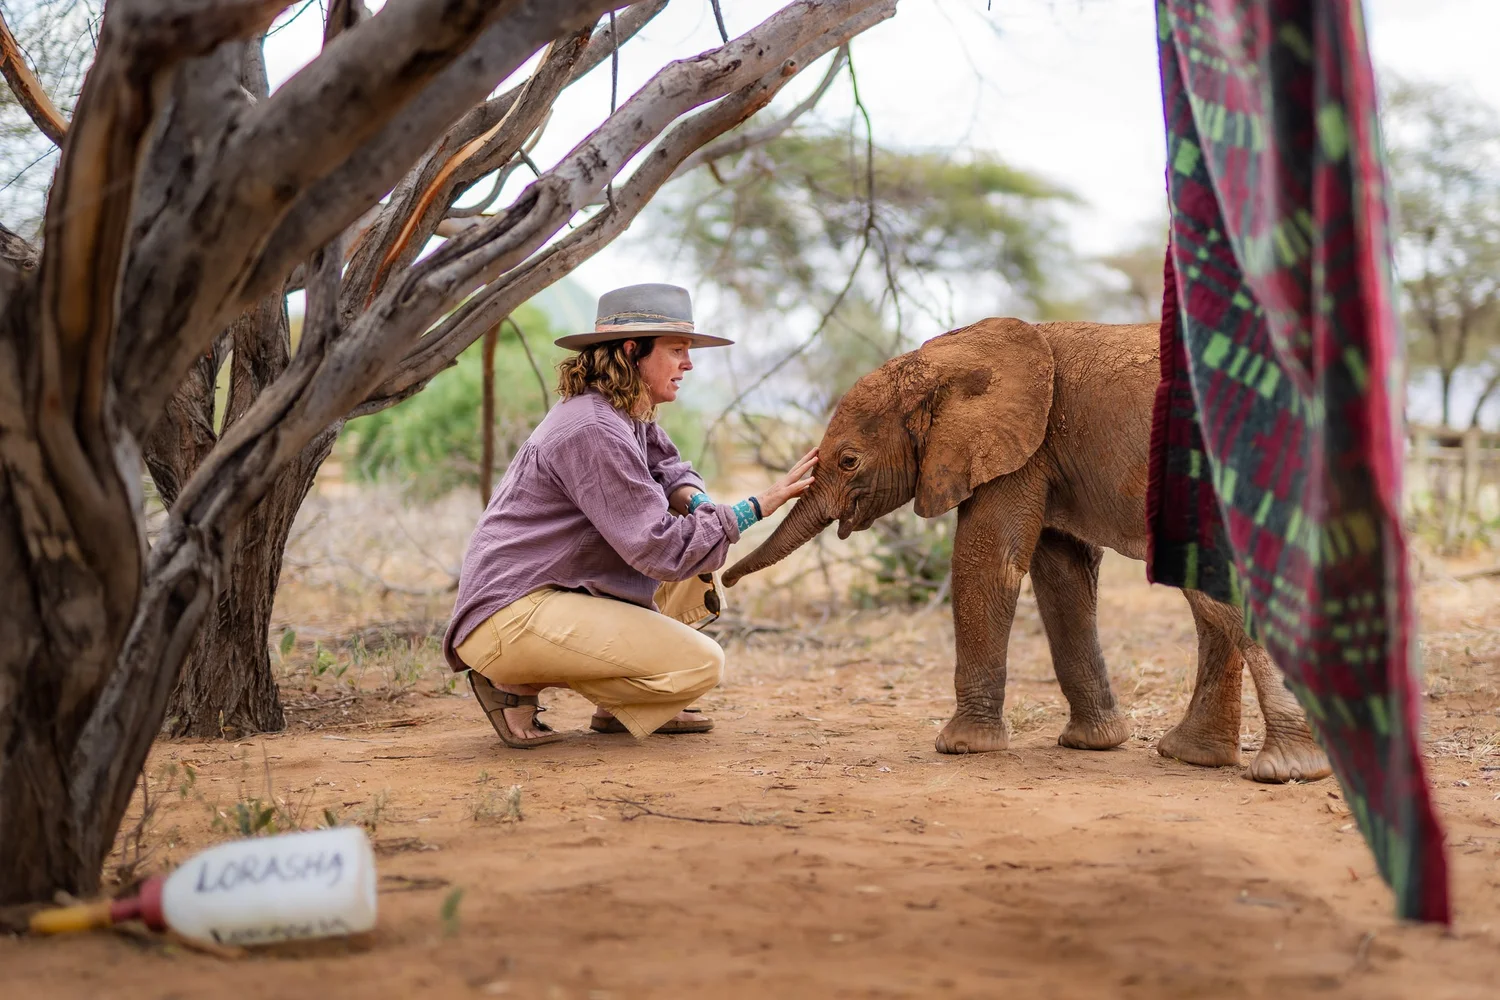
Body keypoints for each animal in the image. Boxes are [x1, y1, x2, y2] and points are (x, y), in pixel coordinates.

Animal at [723, 318, 1331, 783]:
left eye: (849, 460)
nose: (724, 584)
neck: (946, 357)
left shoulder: (1018, 452)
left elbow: (986, 562)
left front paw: (962, 747)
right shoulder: (1042, 454)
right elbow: (1061, 576)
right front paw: (1093, 744)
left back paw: (1287, 770)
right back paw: (1196, 757)